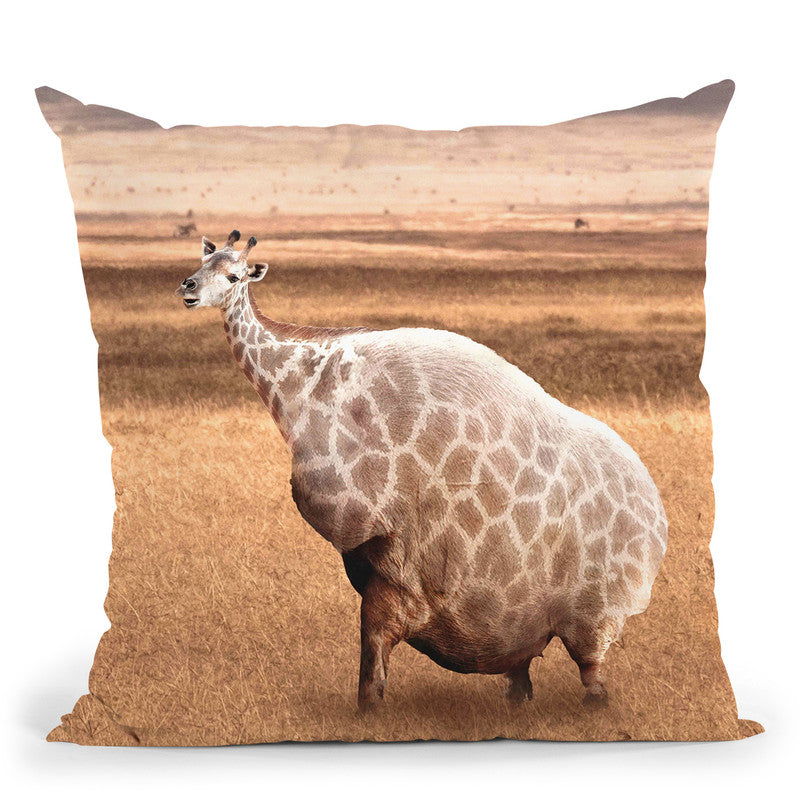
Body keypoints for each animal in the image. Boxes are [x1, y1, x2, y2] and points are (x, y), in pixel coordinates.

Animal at [176, 230, 668, 710]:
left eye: (235, 276)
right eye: (202, 262)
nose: (187, 288)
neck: (307, 394)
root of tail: (655, 510)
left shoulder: (379, 538)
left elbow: (370, 684)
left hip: (593, 615)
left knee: (594, 682)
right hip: (528, 629)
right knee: (521, 680)